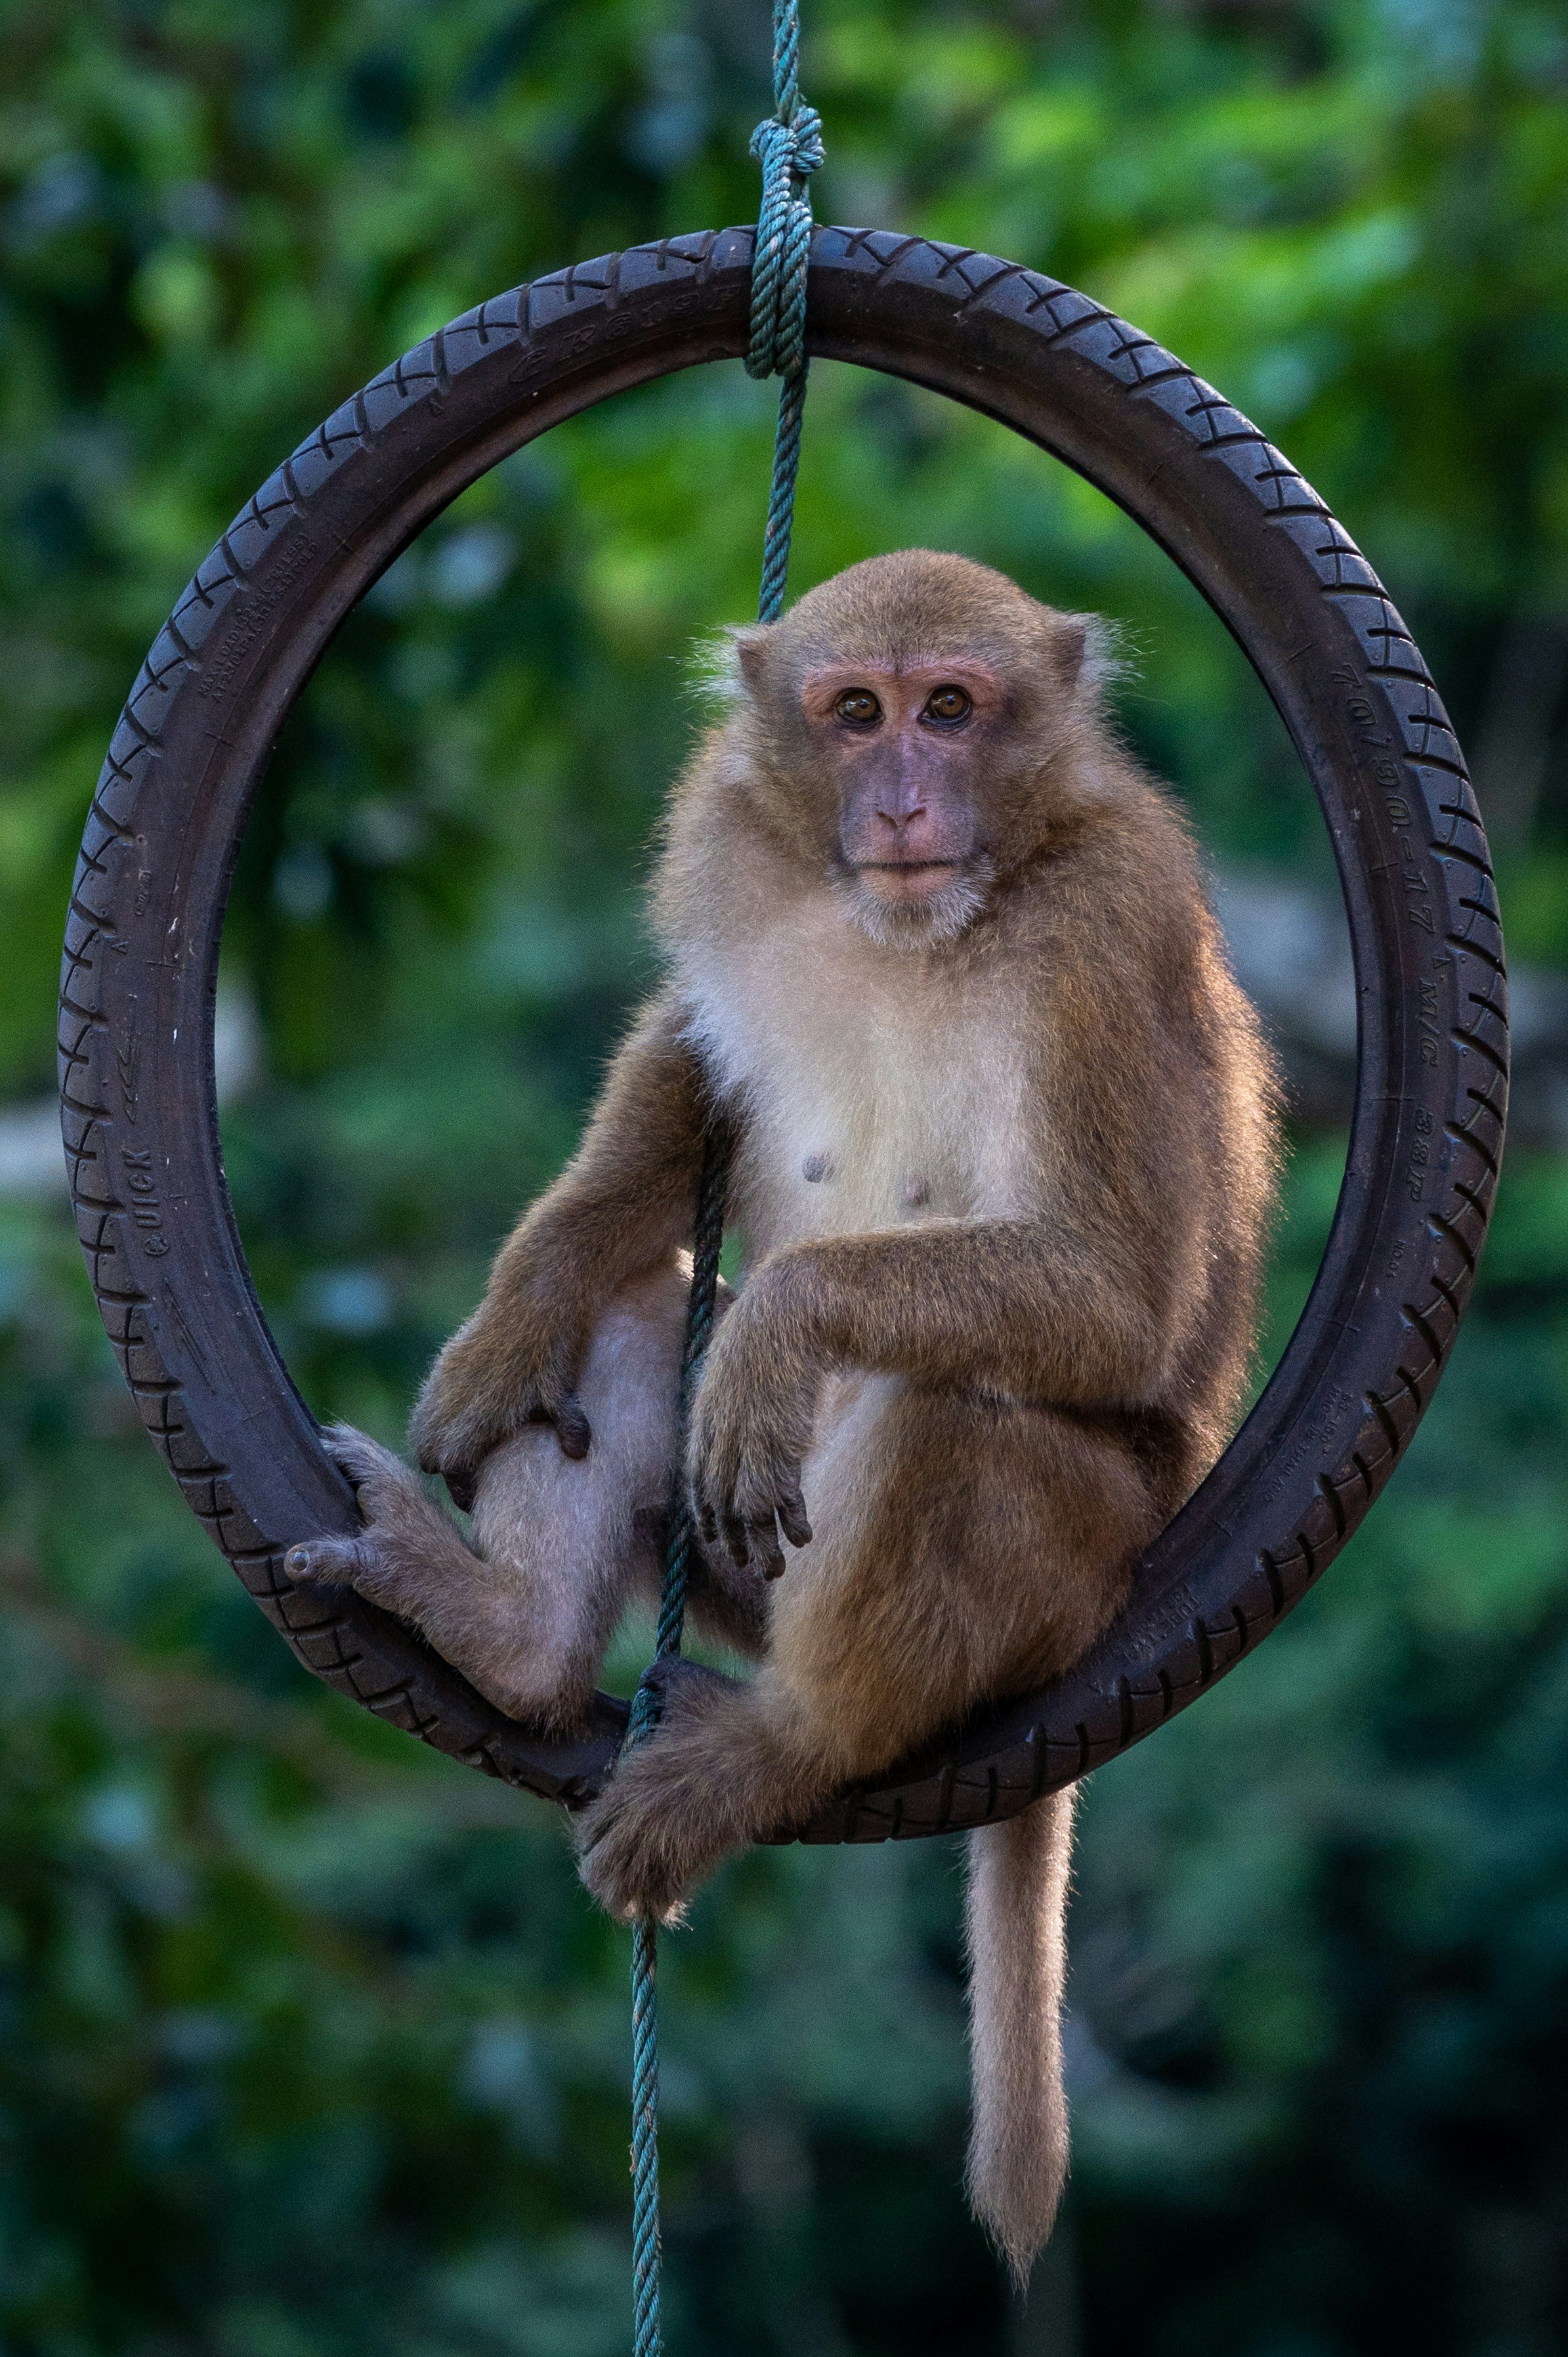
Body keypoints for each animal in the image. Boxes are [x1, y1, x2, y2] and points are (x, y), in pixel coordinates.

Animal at [285, 549, 1279, 2279]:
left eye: (952, 705)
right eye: (857, 711)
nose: (902, 801)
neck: (927, 921)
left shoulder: (1108, 929)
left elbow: (1119, 1287)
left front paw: (777, 1331)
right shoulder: (731, 847)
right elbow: (691, 1058)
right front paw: (517, 1309)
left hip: (1074, 1566)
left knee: (954, 1406)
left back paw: (783, 1747)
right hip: (745, 1569)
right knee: (639, 1314)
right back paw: (513, 1636)